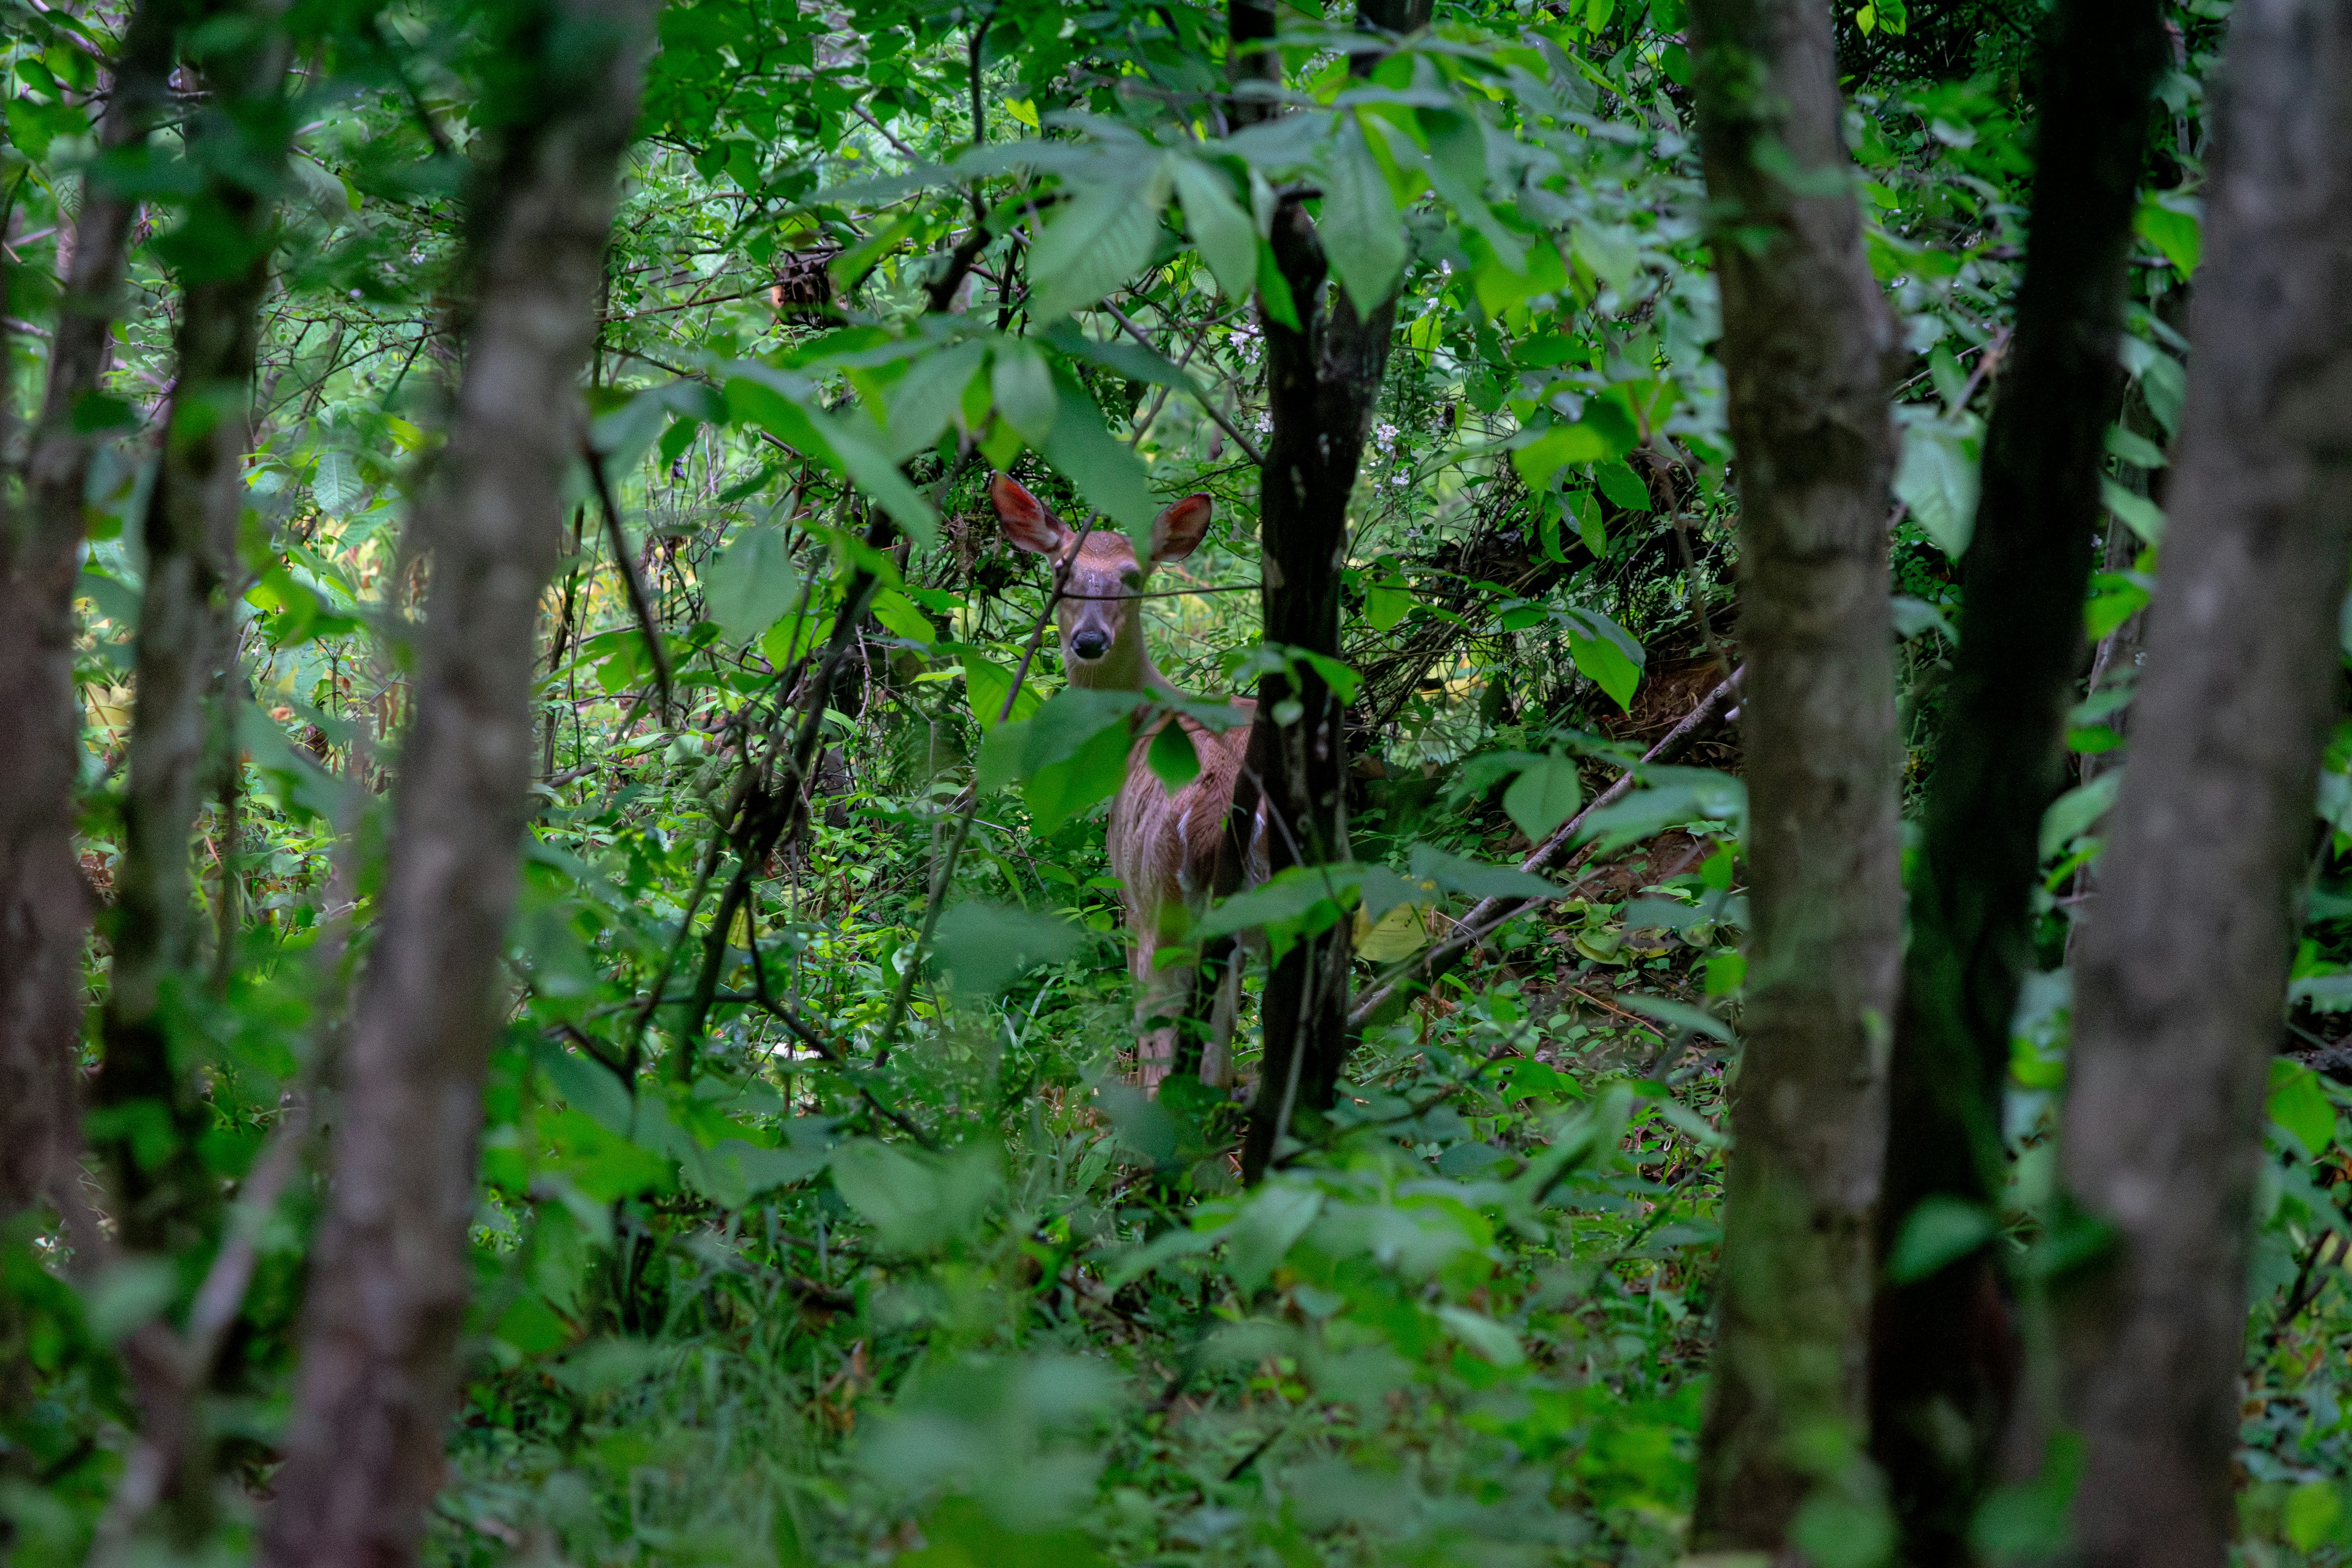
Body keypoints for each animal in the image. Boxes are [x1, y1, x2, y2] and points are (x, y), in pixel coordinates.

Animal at [988, 472, 1266, 1092]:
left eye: (1133, 576)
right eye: (1061, 570)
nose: (1090, 640)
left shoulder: (1127, 893)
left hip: (1161, 897)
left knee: (1166, 1038)